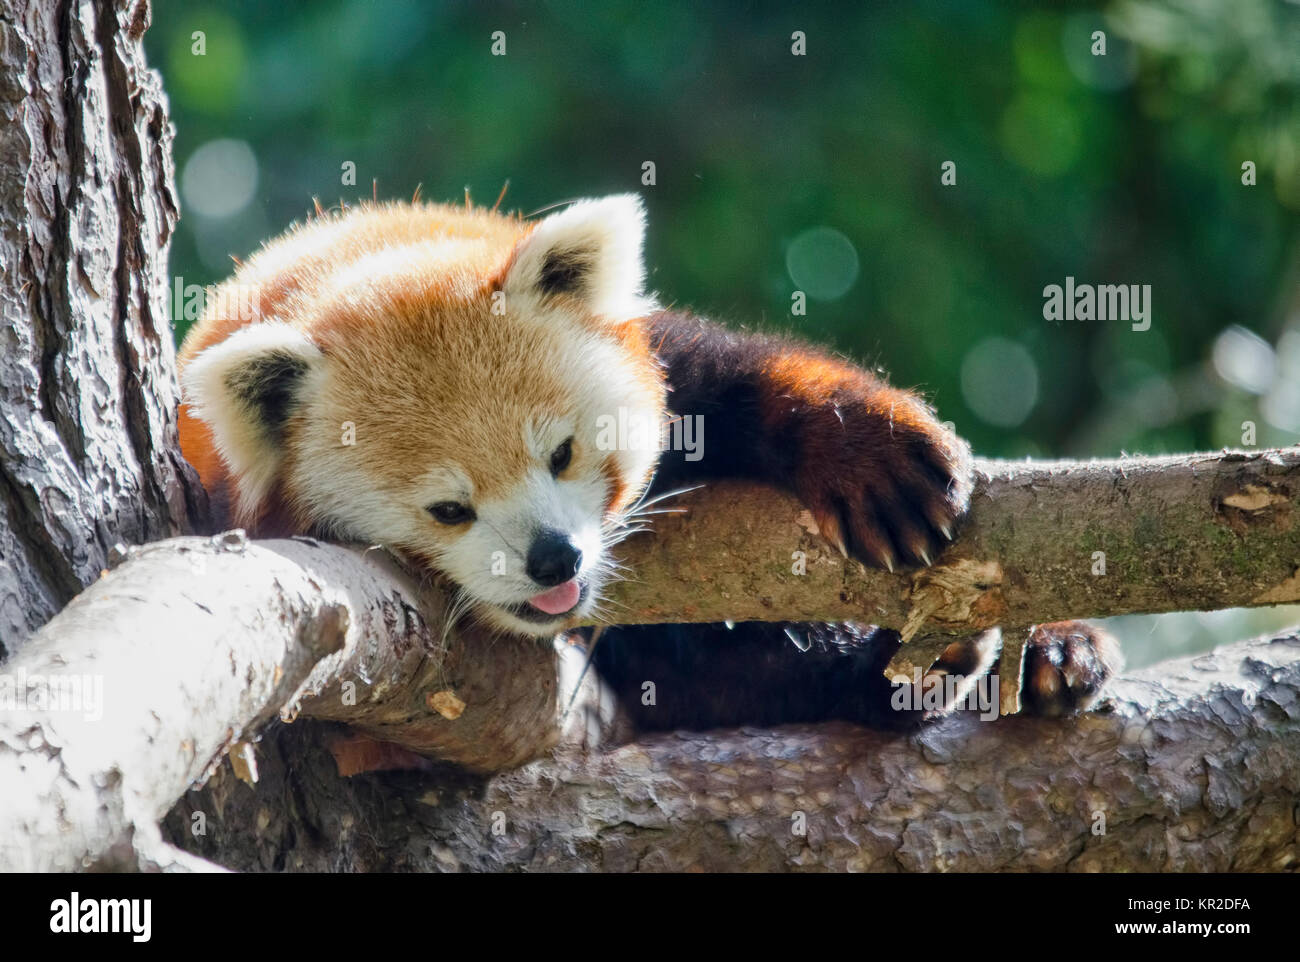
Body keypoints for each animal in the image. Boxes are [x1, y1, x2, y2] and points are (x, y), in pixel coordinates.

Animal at [177, 194, 1120, 752]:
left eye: (561, 454)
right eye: (449, 509)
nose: (554, 560)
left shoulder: (658, 351)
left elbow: (745, 374)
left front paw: (876, 460)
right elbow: (707, 682)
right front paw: (898, 667)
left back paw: (1057, 649)